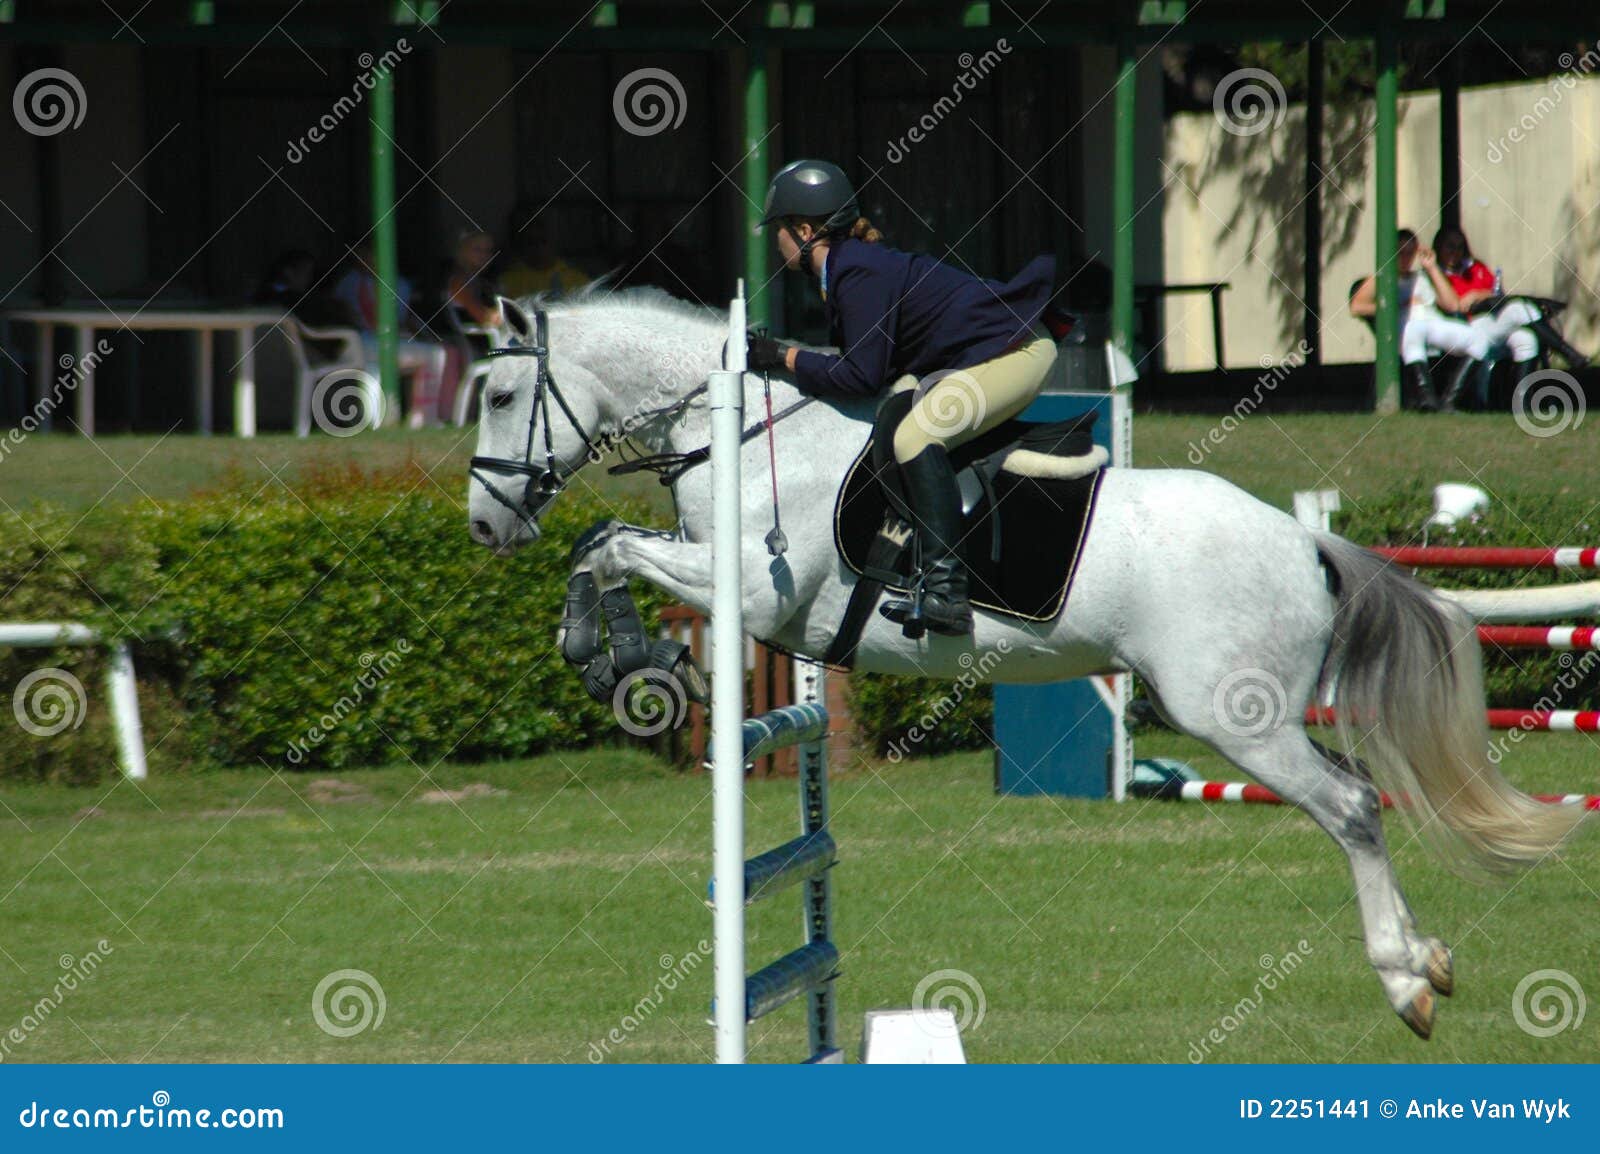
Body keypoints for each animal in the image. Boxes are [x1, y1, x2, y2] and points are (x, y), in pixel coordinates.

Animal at [465, 287, 1586, 1041]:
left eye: (506, 391)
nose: (482, 525)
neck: (734, 432)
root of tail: (1305, 543)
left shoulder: (752, 590)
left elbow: (608, 546)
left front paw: (621, 660)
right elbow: (601, 544)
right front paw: (625, 657)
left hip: (1233, 716)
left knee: (1350, 807)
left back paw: (1406, 980)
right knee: (1356, 797)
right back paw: (1428, 960)